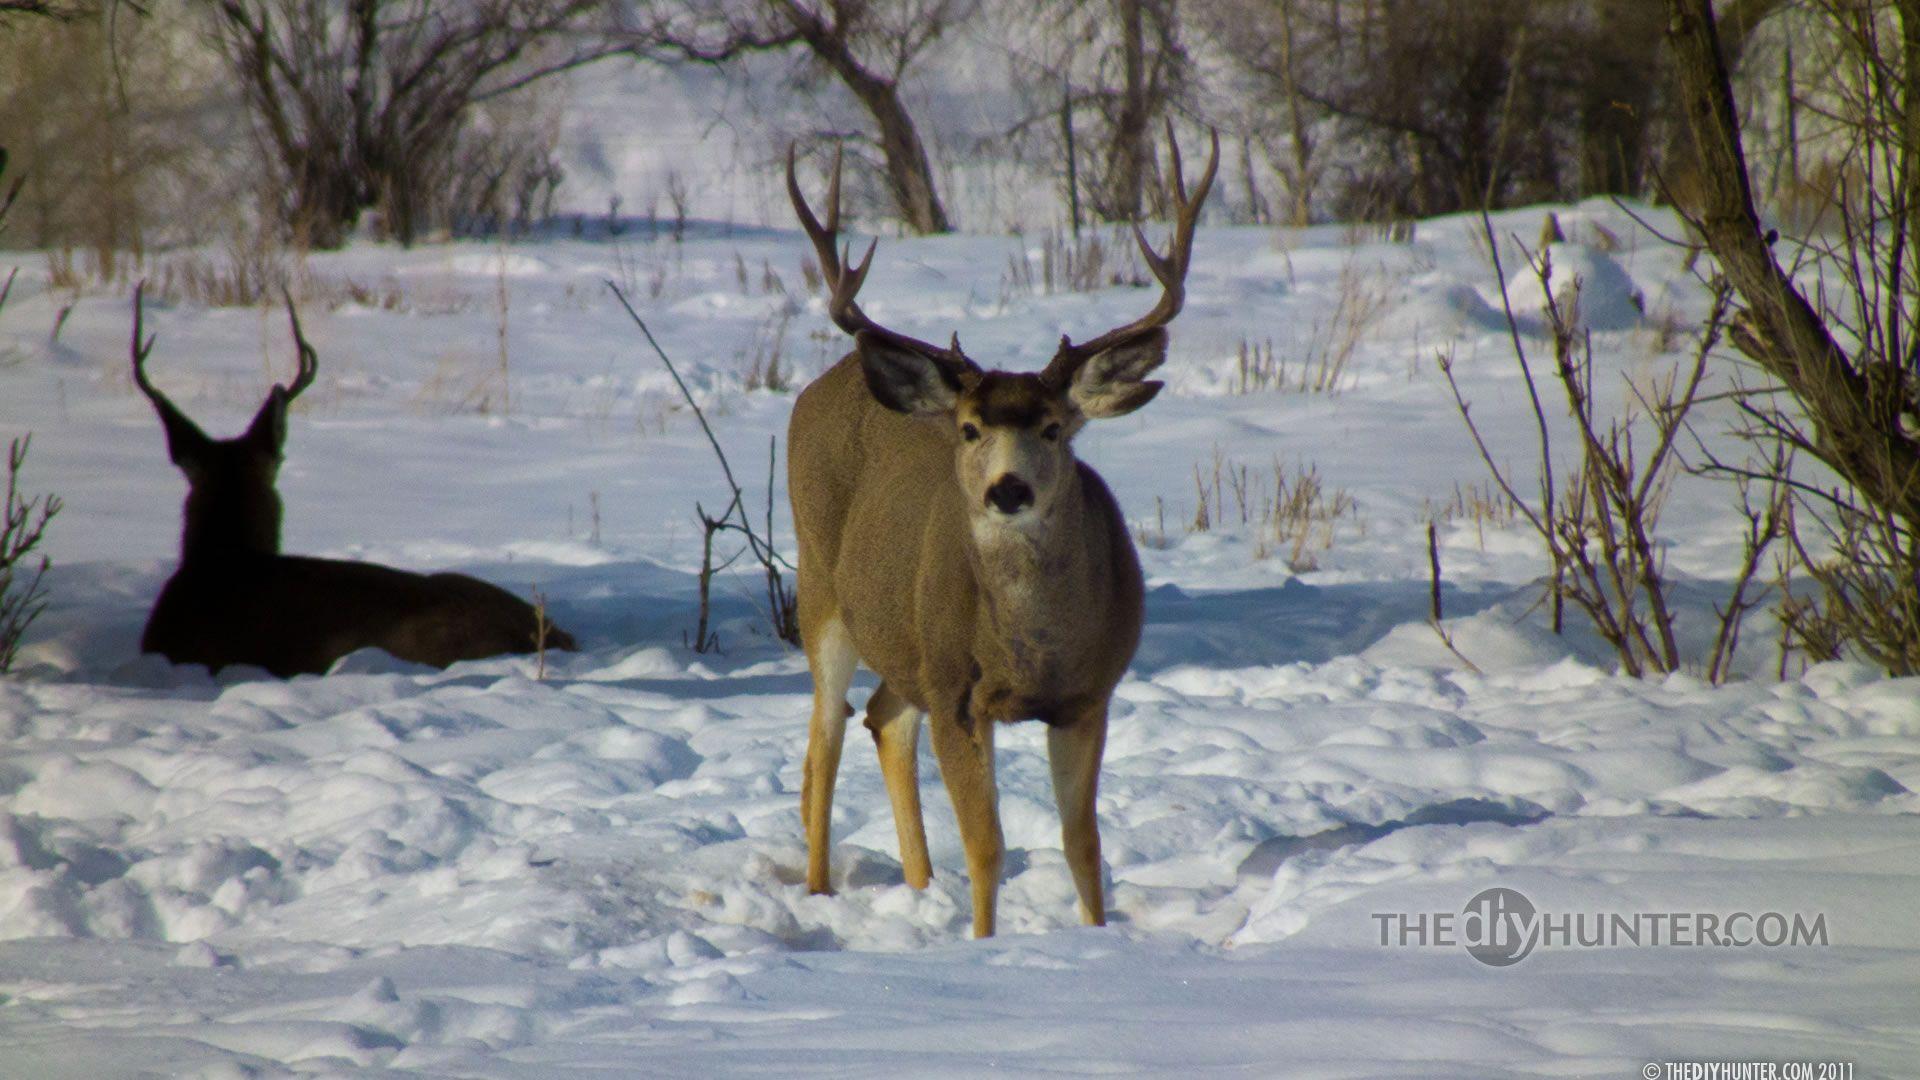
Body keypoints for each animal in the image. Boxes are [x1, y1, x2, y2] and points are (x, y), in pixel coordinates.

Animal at [785, 125, 1217, 938]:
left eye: (1053, 427)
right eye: (969, 429)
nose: (1007, 489)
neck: (1031, 651)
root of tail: (827, 380)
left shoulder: (1088, 696)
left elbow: (1082, 843)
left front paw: (1099, 937)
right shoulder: (959, 691)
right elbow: (987, 846)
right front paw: (985, 945)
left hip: (906, 645)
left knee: (884, 720)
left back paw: (922, 887)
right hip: (820, 589)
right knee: (823, 739)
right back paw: (819, 894)